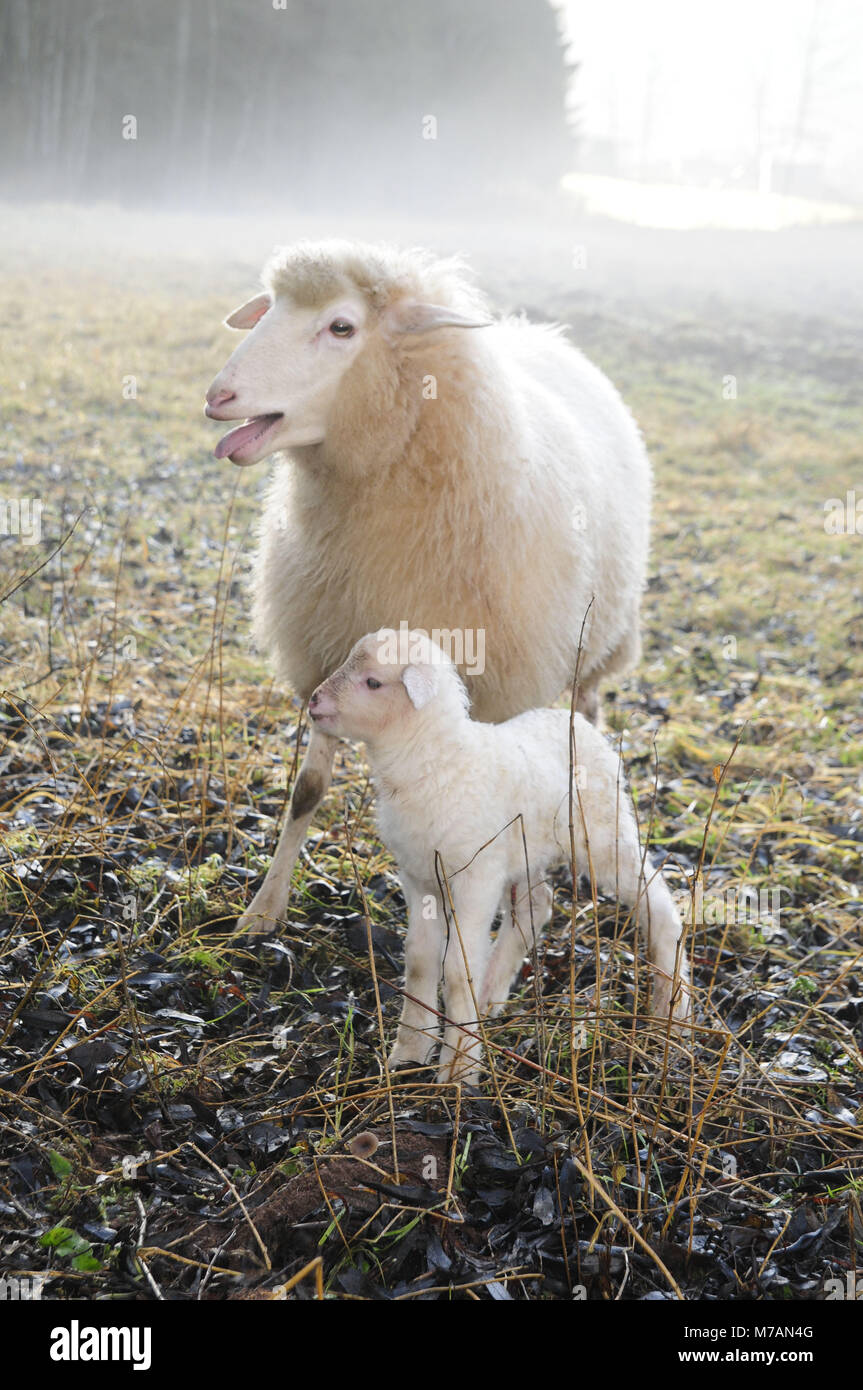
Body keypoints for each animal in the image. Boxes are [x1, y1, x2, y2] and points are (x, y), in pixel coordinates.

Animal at [204, 240, 653, 936]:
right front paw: (263, 909)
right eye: (270, 307)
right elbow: (306, 793)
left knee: (586, 712)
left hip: (598, 637)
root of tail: (542, 334)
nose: (218, 395)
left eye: (341, 326)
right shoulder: (328, 657)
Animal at [308, 628, 691, 1084]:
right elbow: (420, 962)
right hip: (528, 851)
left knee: (659, 904)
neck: (434, 758)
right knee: (535, 906)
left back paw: (673, 1009)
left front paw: (458, 1071)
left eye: (372, 682)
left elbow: (458, 972)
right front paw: (410, 1051)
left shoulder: (476, 877)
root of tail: (577, 722)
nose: (314, 701)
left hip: (606, 836)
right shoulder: (420, 876)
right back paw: (490, 996)